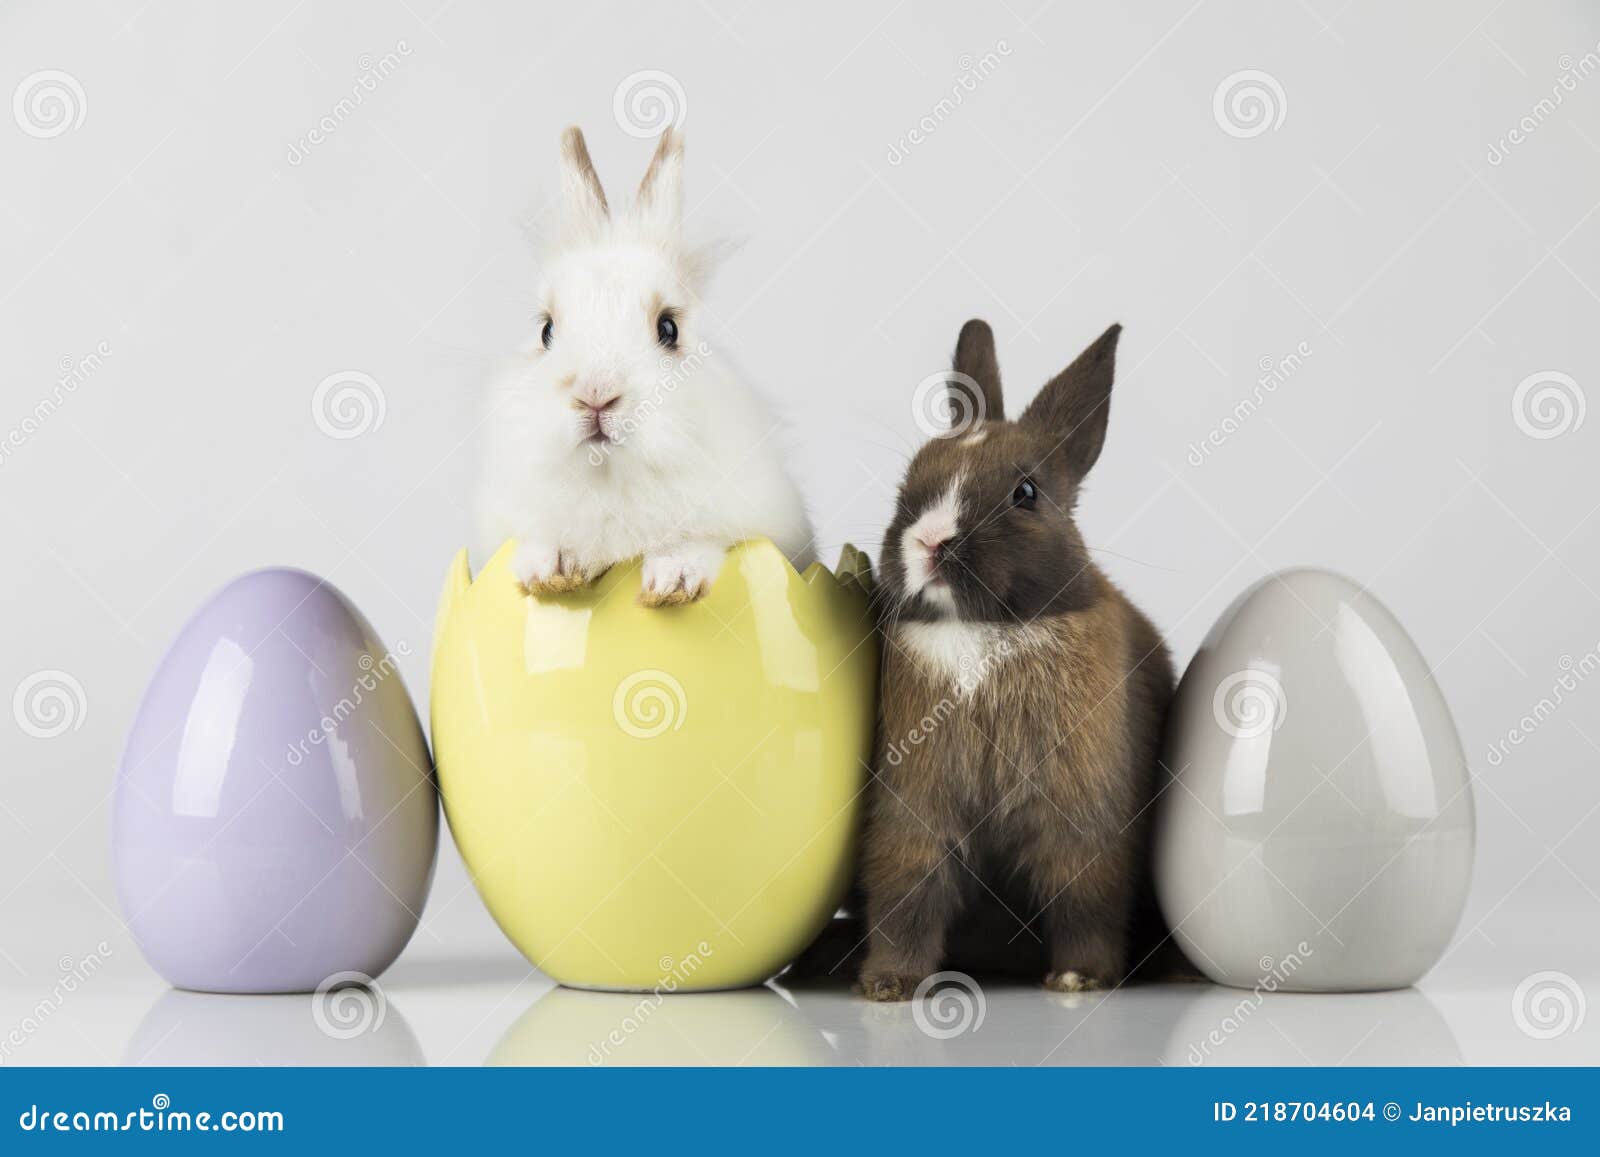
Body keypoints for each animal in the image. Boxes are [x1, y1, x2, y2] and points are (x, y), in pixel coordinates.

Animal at [475, 126, 814, 606]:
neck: (609, 482)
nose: (595, 395)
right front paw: (547, 572)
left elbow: (698, 543)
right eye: (546, 330)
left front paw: (672, 584)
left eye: (668, 328)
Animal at [853, 318, 1178, 1000]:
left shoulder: (1082, 825)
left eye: (1025, 493)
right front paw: (888, 985)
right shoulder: (912, 814)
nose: (930, 541)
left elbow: (1086, 898)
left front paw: (1079, 978)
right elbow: (906, 891)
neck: (984, 631)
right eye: (911, 477)